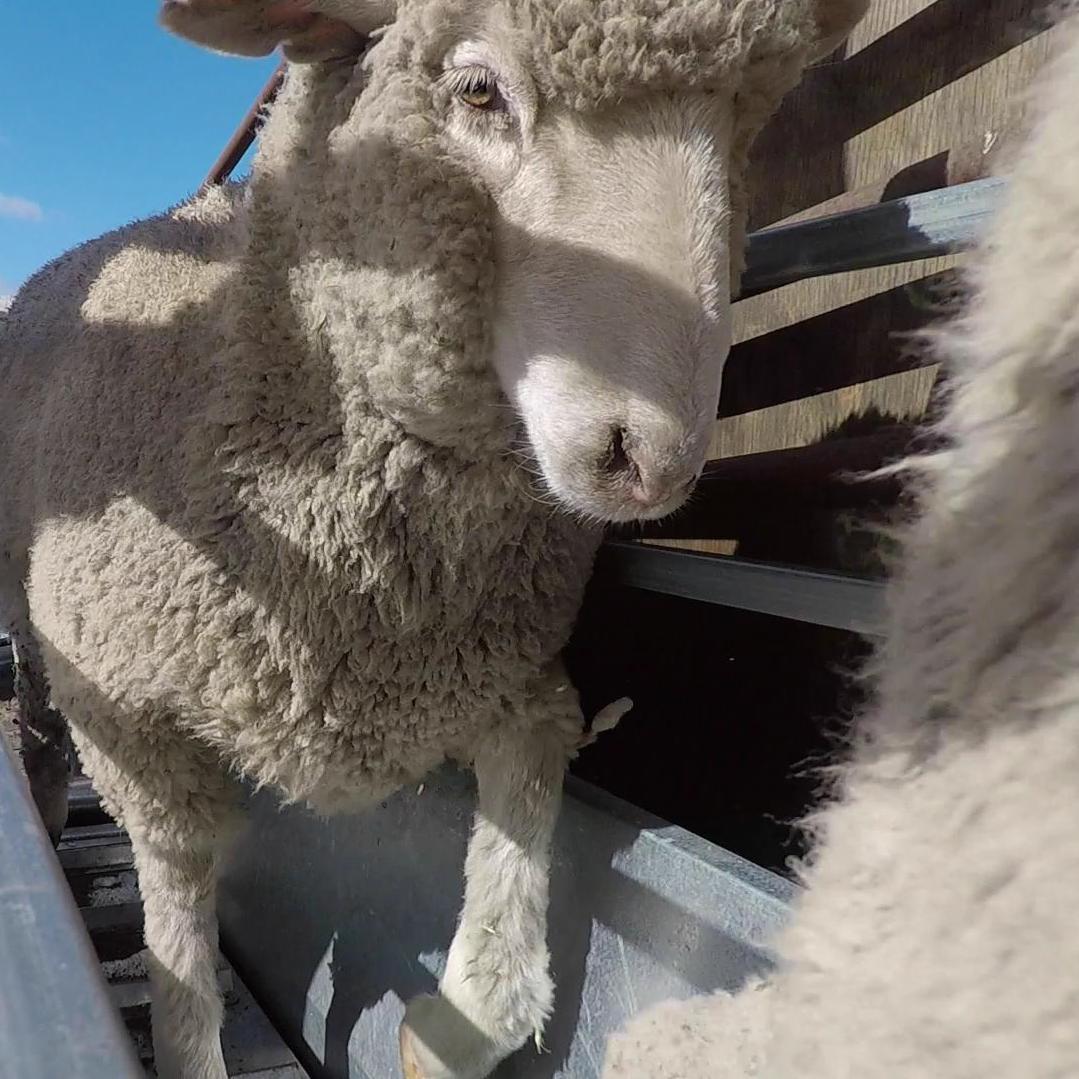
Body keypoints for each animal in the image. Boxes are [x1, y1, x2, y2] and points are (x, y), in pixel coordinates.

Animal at [0, 2, 868, 1077]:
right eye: (478, 91)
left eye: (744, 123)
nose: (648, 458)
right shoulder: (127, 723)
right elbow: (178, 915)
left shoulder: (487, 670)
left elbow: (540, 759)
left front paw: (456, 1019)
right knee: (37, 725)